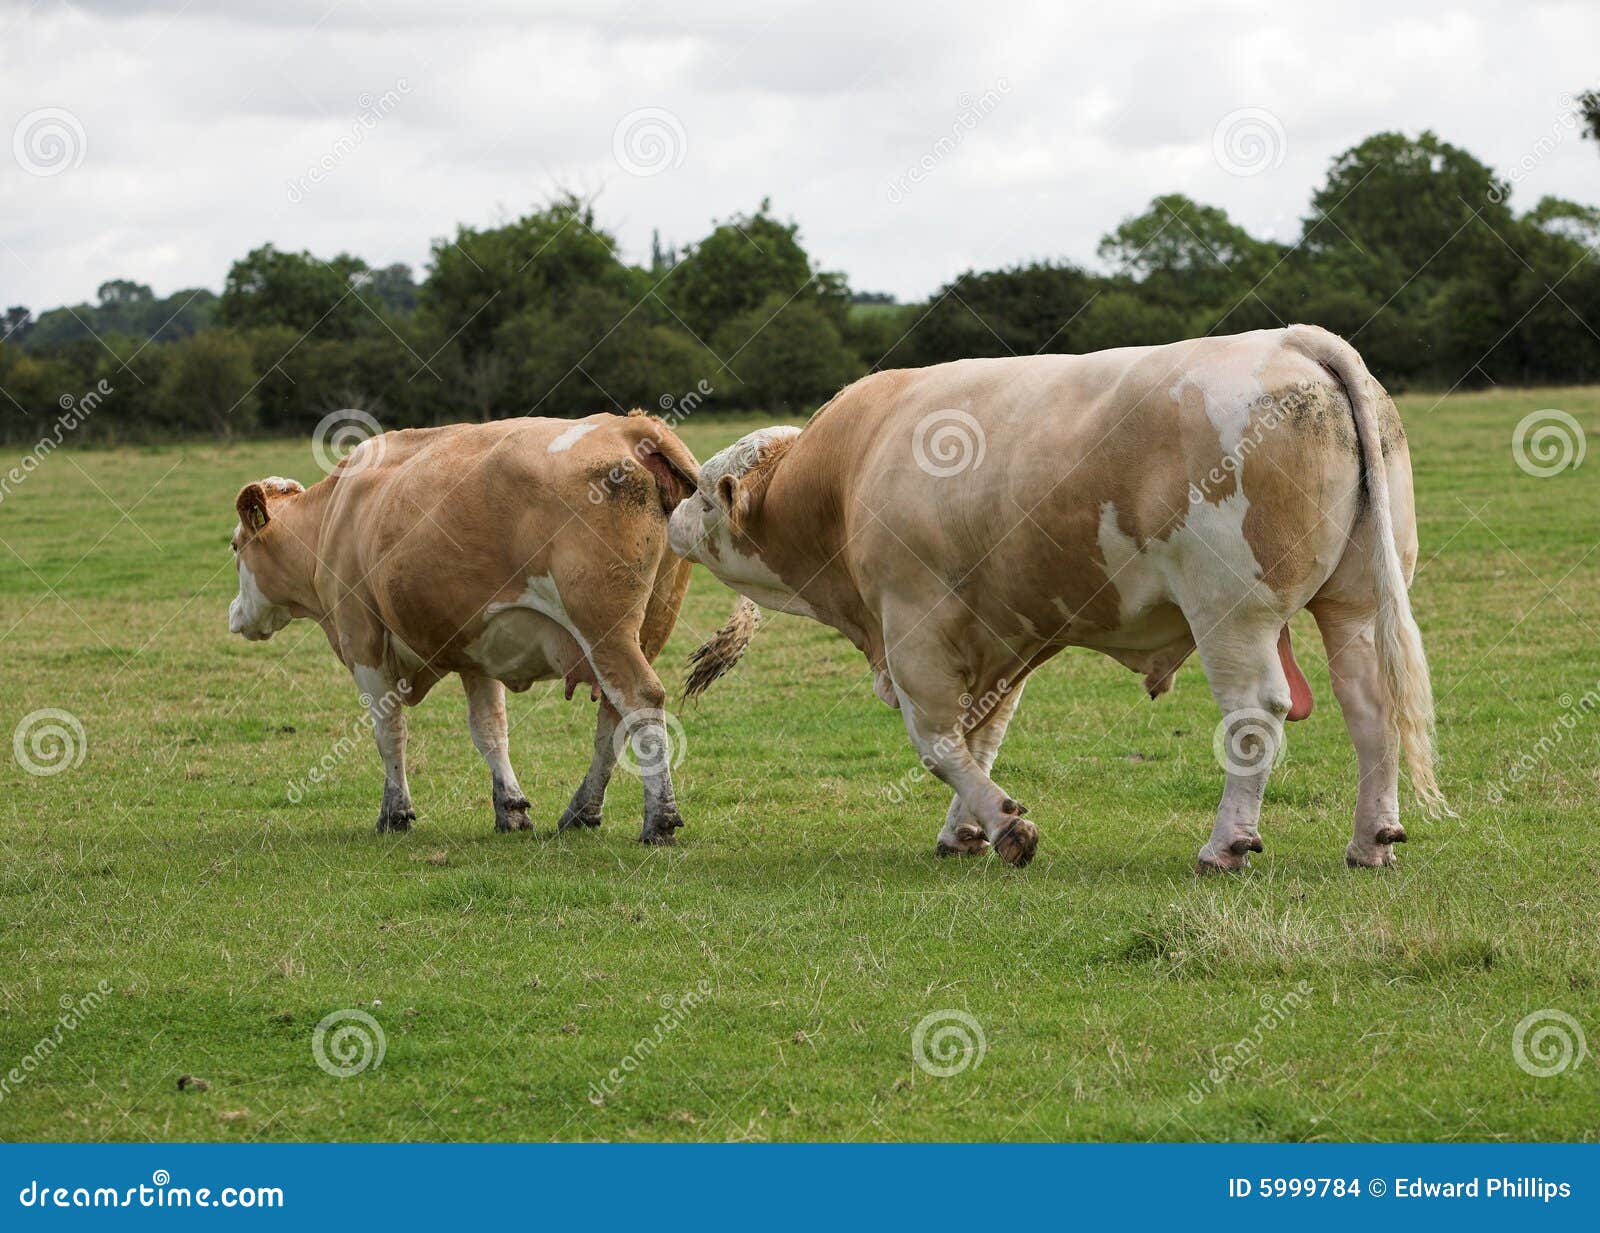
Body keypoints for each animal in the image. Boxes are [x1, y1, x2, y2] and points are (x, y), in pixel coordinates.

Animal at [228, 412, 725, 844]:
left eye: (235, 546)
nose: (234, 614)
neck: (337, 514)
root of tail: (630, 425)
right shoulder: (476, 652)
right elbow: (489, 731)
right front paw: (511, 808)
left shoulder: (362, 639)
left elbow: (389, 731)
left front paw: (395, 812)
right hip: (648, 628)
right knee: (615, 718)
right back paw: (582, 810)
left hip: (605, 628)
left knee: (641, 700)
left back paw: (658, 819)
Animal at [671, 325, 1447, 872]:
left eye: (703, 492)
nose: (673, 515)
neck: (846, 474)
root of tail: (1295, 340)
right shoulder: (1000, 637)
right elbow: (981, 738)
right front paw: (967, 830)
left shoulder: (913, 627)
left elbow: (938, 743)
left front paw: (1008, 827)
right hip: (1355, 599)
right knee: (1370, 704)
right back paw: (1372, 839)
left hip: (1233, 612)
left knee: (1255, 715)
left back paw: (1225, 845)